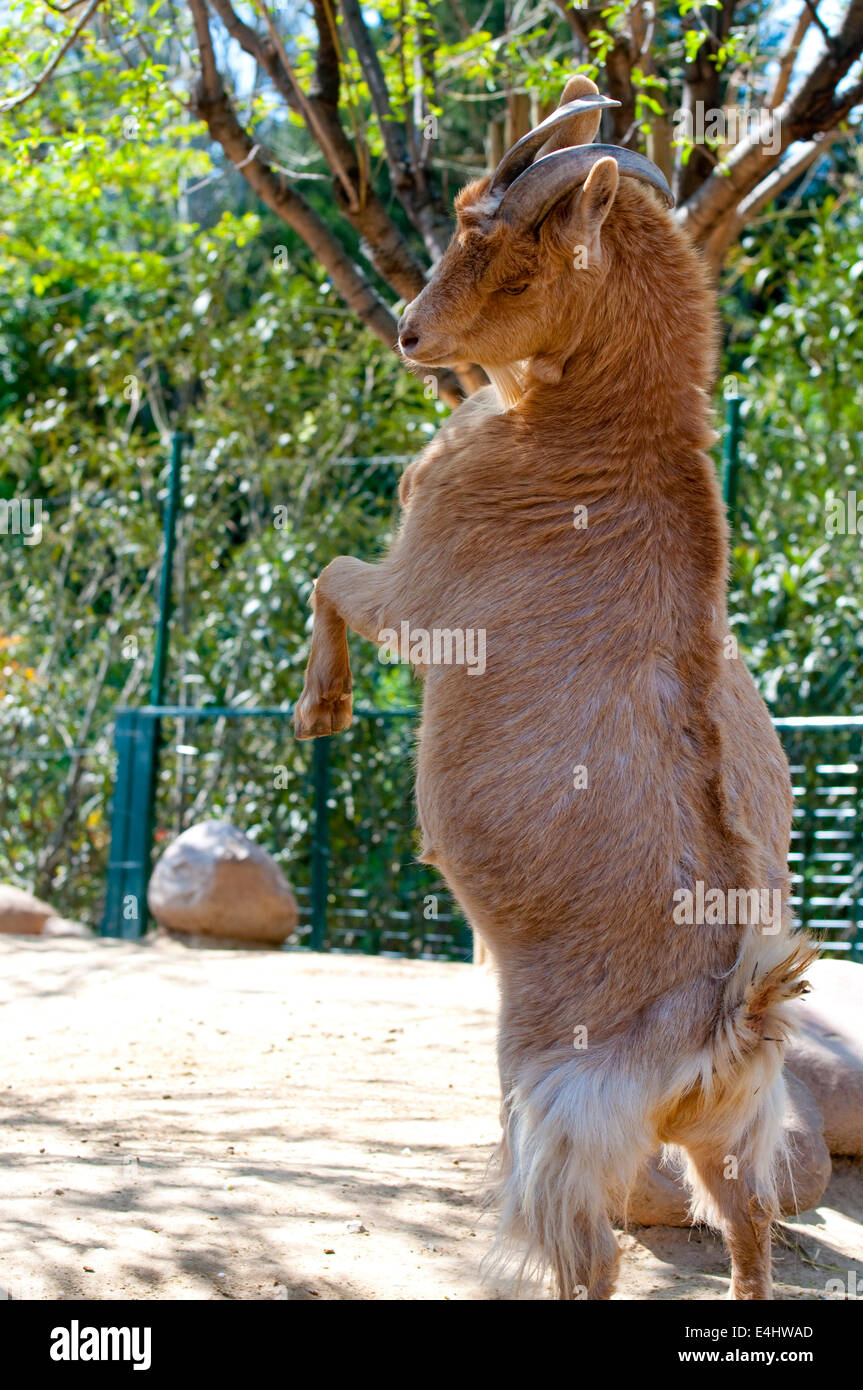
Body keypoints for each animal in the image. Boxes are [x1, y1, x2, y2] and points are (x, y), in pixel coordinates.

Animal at [294, 75, 814, 1300]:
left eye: (502, 247)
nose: (411, 332)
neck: (602, 439)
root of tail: (726, 1026)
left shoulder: (418, 591)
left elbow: (332, 577)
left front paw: (319, 712)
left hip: (555, 1107)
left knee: (589, 1255)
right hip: (736, 1134)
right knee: (748, 1231)